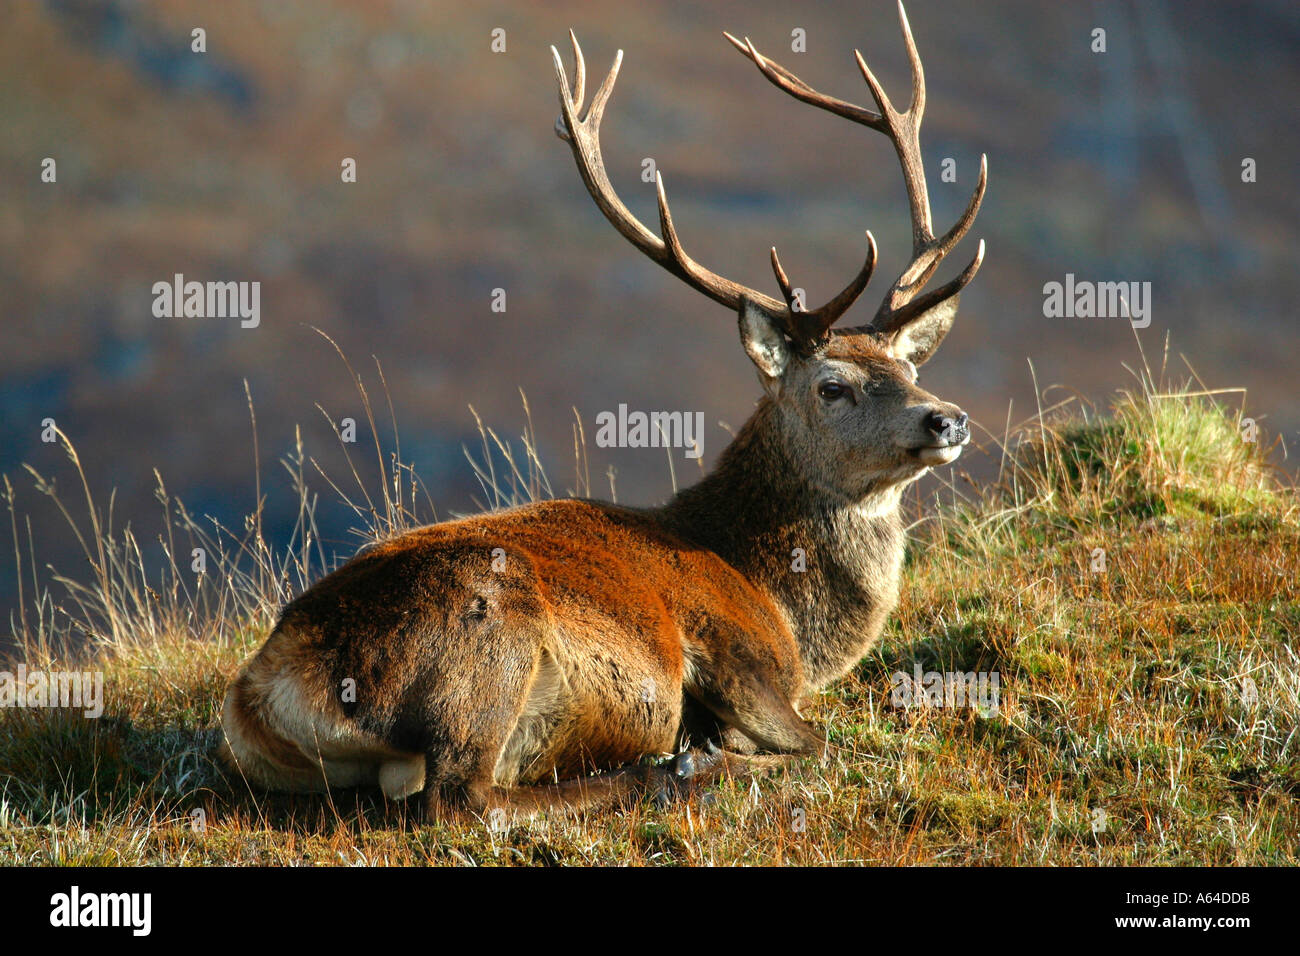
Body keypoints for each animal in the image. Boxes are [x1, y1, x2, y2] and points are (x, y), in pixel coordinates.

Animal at [219, 1, 986, 820]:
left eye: (909, 366)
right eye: (832, 386)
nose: (947, 418)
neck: (778, 601)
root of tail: (264, 692)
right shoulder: (736, 652)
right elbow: (818, 742)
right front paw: (713, 751)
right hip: (487, 628)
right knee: (462, 797)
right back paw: (670, 771)